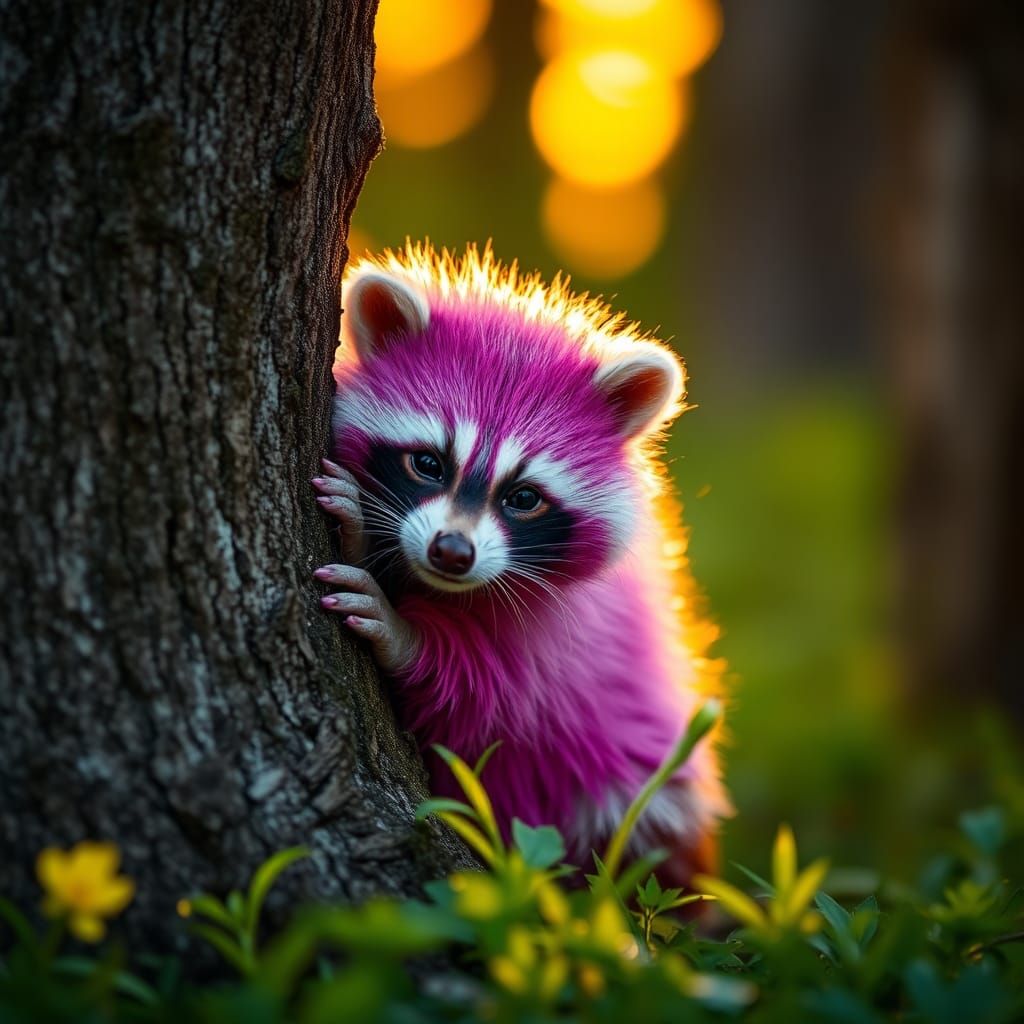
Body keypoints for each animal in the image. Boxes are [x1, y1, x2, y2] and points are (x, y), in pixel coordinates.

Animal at [314, 243, 729, 883]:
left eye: (524, 497)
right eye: (428, 463)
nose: (451, 552)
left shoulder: (575, 639)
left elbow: (490, 698)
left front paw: (406, 631)